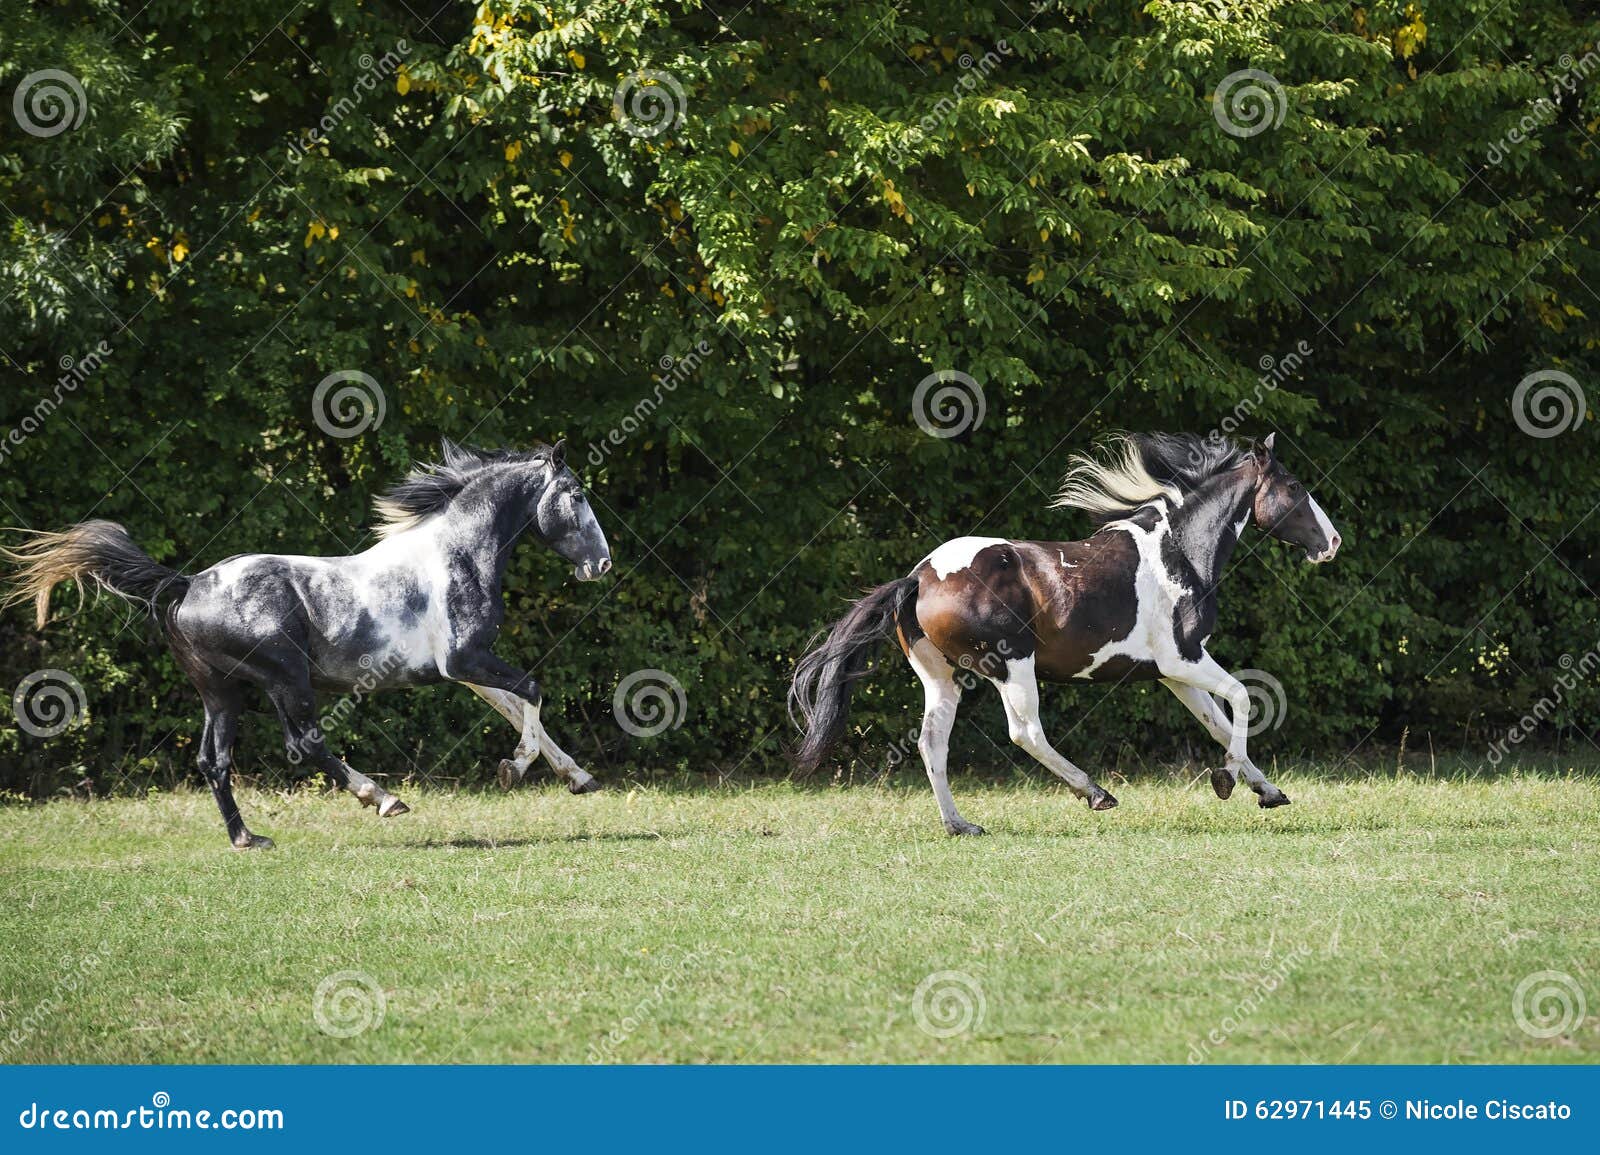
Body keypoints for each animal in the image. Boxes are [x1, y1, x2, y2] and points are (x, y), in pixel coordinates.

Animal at [2, 438, 613, 849]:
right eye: (577, 495)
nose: (602, 564)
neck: (457, 555)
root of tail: (188, 584)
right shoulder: (466, 659)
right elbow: (532, 691)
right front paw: (515, 769)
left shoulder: (465, 670)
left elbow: (516, 706)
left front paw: (578, 778)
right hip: (284, 679)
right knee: (304, 744)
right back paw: (383, 799)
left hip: (221, 691)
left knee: (213, 759)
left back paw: (248, 839)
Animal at [787, 432, 1342, 835]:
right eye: (1294, 487)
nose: (1333, 542)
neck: (1179, 551)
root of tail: (920, 576)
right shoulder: (1184, 659)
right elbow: (1243, 700)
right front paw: (1226, 780)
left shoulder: (1172, 675)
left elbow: (1219, 724)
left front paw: (1267, 791)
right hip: (1012, 664)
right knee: (1025, 732)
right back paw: (1095, 793)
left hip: (941, 678)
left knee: (931, 742)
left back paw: (960, 825)